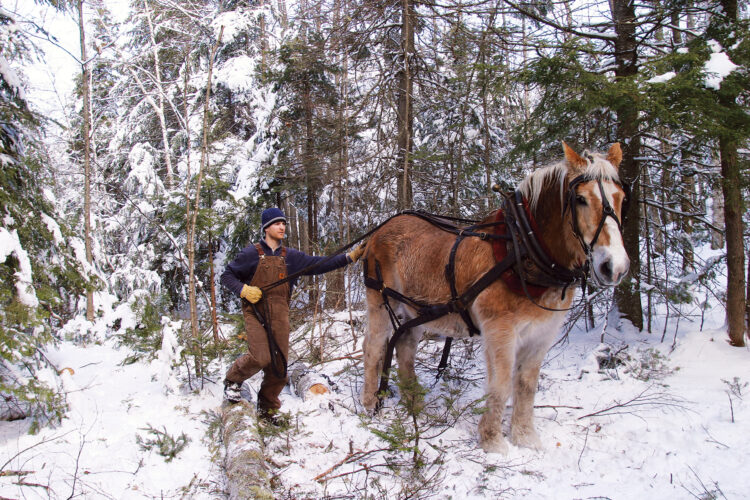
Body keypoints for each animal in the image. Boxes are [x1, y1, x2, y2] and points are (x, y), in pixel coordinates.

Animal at [360, 142, 629, 454]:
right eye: (581, 199)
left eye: (621, 198)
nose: (615, 266)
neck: (522, 251)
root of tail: (377, 233)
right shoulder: (500, 330)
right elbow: (500, 385)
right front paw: (493, 442)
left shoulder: (542, 334)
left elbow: (526, 385)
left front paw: (525, 438)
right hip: (380, 302)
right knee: (374, 348)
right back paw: (370, 403)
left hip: (415, 310)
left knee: (404, 348)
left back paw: (415, 404)